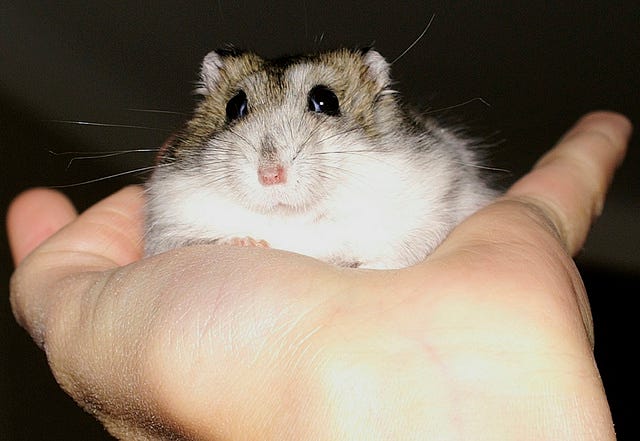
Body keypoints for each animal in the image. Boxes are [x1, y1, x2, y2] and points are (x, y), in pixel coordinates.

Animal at [144, 47, 496, 269]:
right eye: (235, 107)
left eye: (326, 101)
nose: (270, 176)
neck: (292, 216)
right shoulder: (166, 230)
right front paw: (246, 242)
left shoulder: (431, 212)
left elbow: (407, 247)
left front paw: (367, 267)